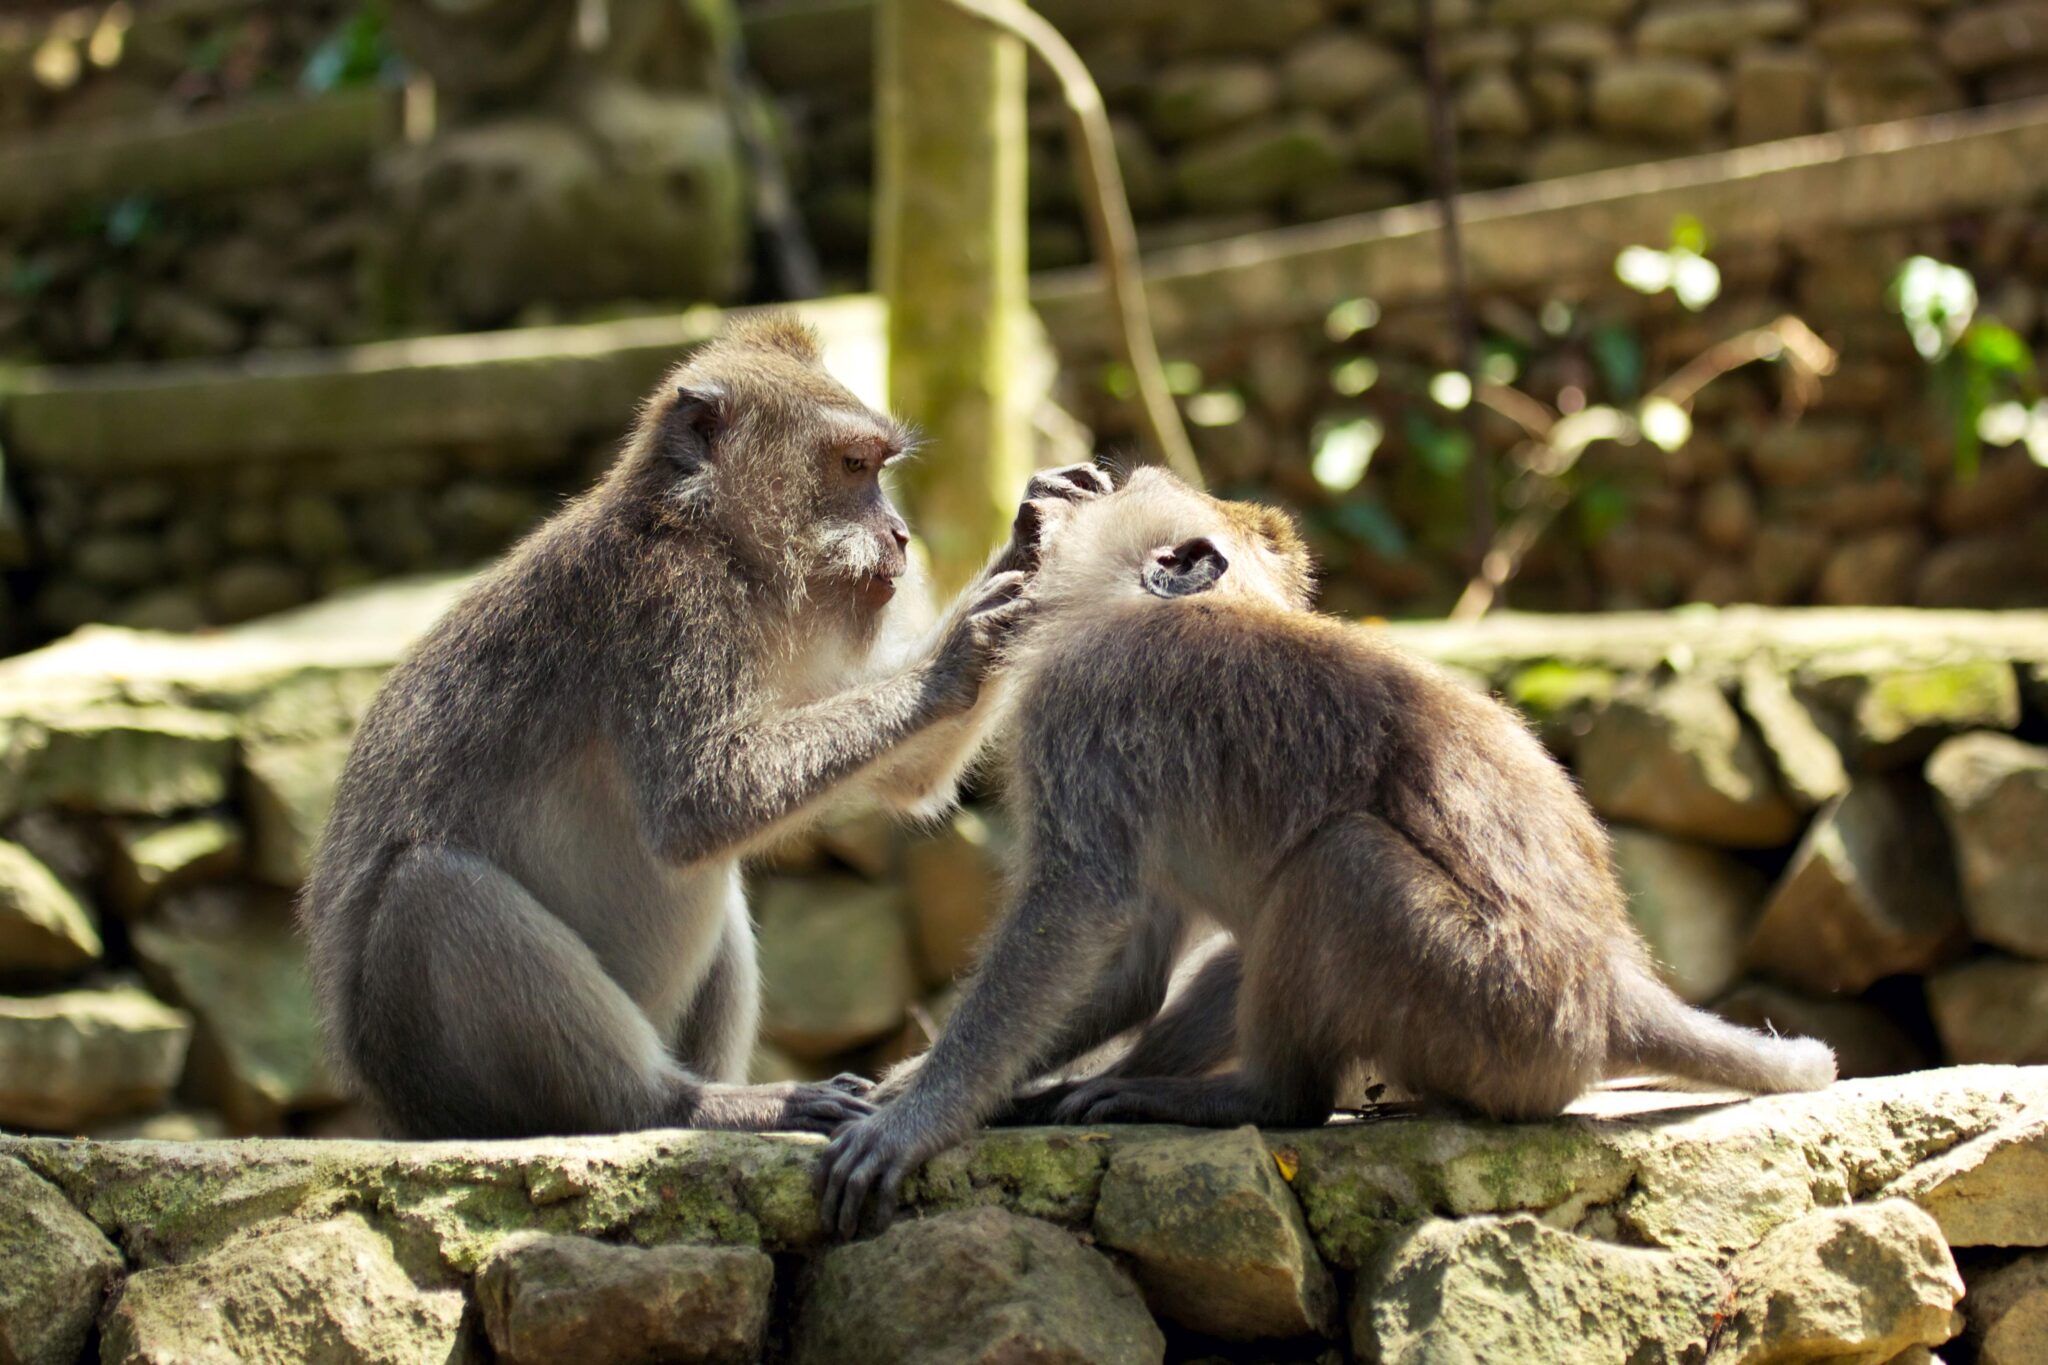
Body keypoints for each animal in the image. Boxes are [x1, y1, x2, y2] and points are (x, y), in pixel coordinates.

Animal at [298, 313, 1113, 1140]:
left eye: (877, 469)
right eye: (854, 465)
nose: (900, 534)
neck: (702, 532)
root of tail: (394, 1109)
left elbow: (905, 774)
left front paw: (1035, 533)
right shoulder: (670, 605)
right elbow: (705, 799)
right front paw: (958, 652)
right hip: (433, 1071)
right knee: (432, 889)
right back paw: (679, 1104)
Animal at [817, 466, 1836, 1235]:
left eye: (1120, 485)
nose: (1059, 488)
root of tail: (1612, 986)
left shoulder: (1084, 699)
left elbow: (1075, 909)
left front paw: (918, 1115)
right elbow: (1132, 963)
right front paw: (919, 1083)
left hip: (1496, 1008)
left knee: (1336, 866)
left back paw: (1256, 1098)